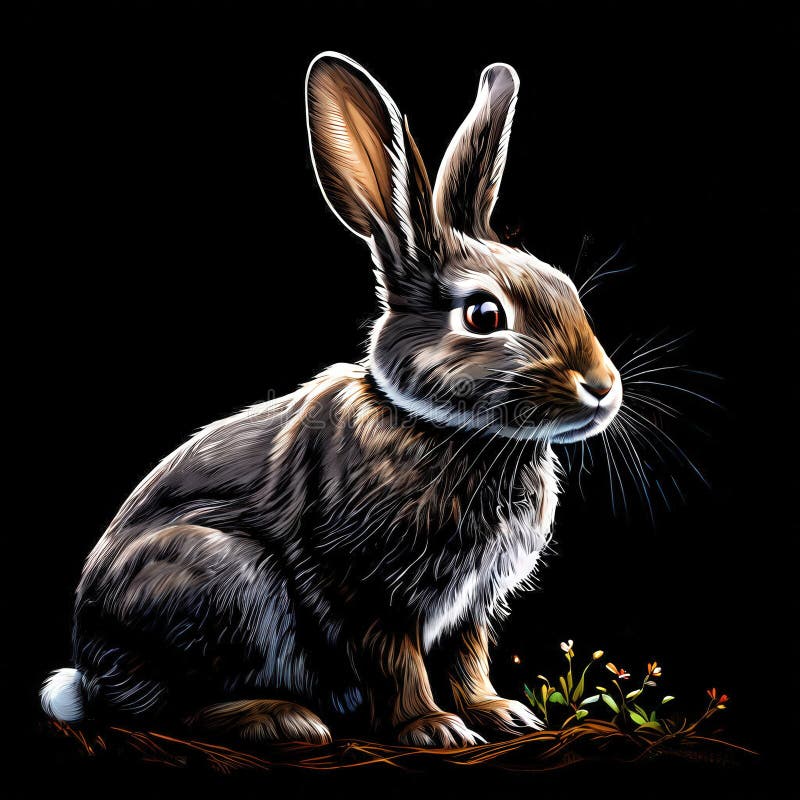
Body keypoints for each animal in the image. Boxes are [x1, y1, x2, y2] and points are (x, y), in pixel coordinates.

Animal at [41, 52, 622, 749]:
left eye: (566, 288)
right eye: (484, 315)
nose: (602, 387)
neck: (444, 429)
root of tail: (87, 671)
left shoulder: (468, 606)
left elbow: (466, 657)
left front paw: (499, 713)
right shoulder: (360, 586)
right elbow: (395, 660)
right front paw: (434, 728)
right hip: (223, 580)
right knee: (163, 709)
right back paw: (280, 718)